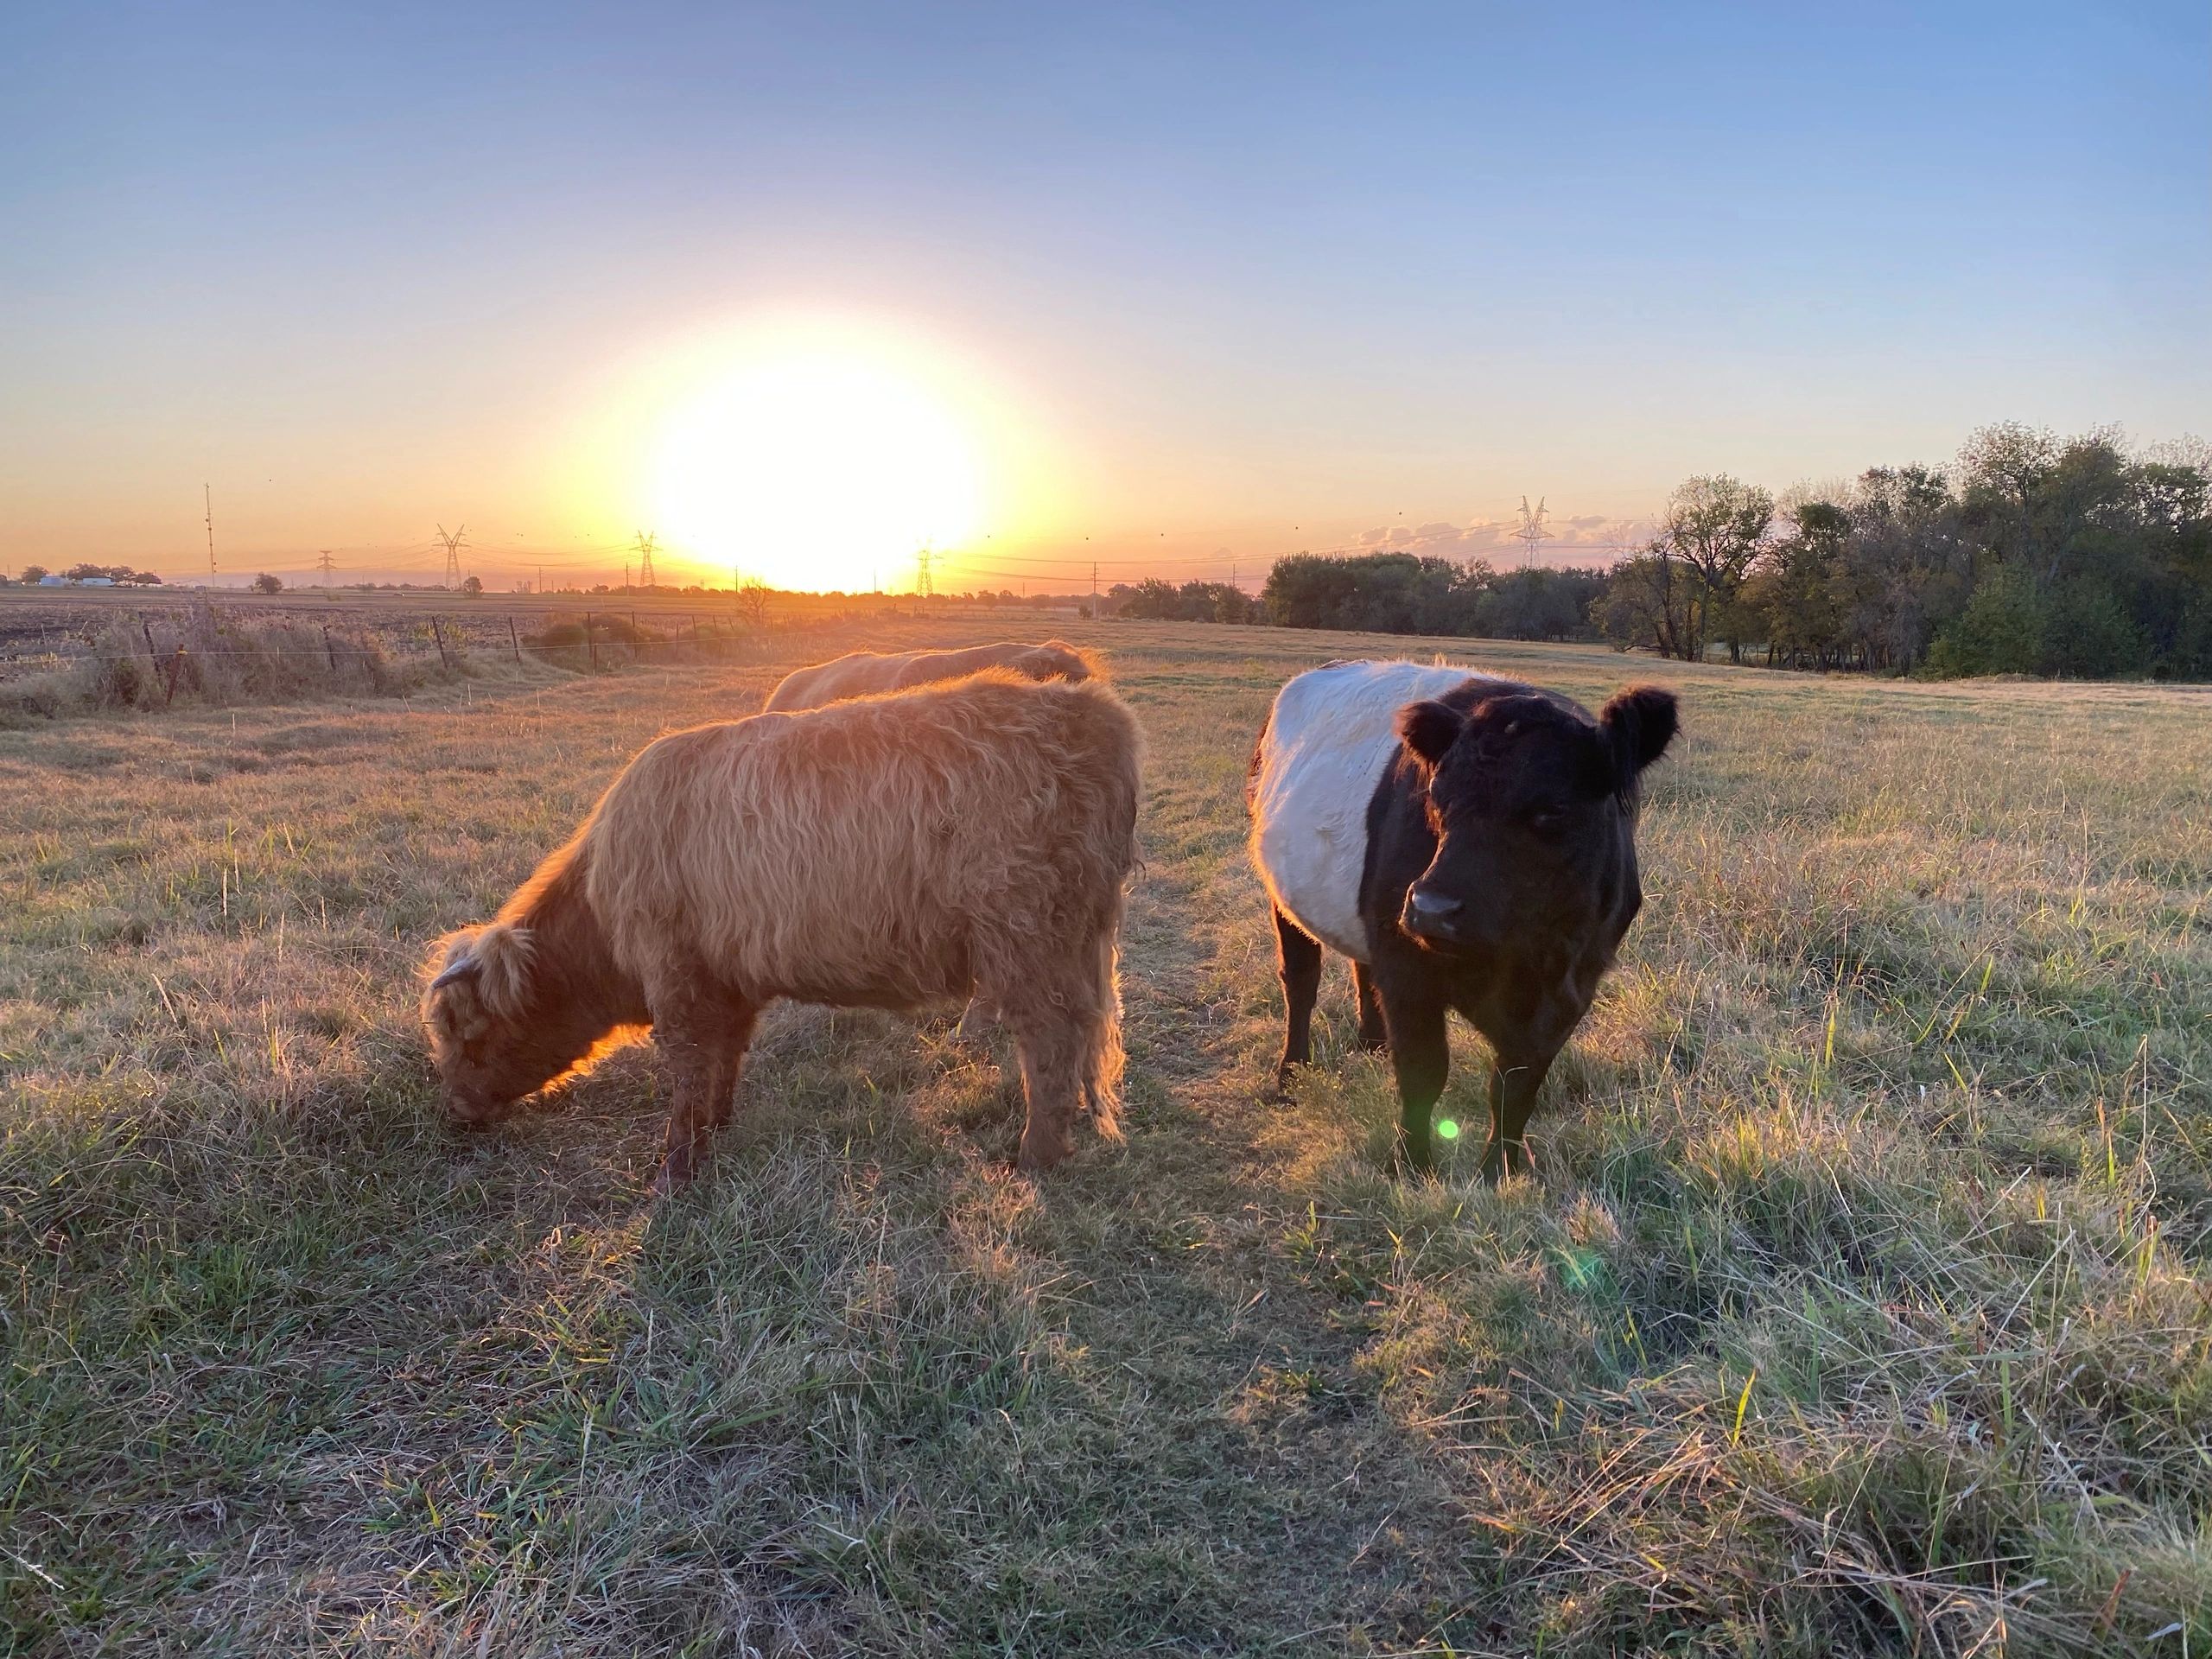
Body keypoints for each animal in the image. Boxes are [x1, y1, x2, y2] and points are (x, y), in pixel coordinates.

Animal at [422, 671, 1143, 1189]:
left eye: (472, 1035)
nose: (455, 1111)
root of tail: (1095, 712)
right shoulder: (728, 980)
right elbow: (725, 1059)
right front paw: (718, 1128)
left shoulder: (676, 977)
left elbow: (687, 1069)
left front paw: (676, 1170)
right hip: (1064, 945)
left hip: (1028, 941)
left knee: (1049, 1044)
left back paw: (1034, 1158)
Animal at [1247, 660, 1677, 1179]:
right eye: (1437, 796)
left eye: (1552, 810)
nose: (1431, 908)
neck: (1525, 957)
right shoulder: (1408, 969)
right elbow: (1424, 1072)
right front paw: (1412, 1165)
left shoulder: (1574, 988)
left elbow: (1516, 1088)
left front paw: (1500, 1170)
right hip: (1284, 897)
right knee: (1301, 981)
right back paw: (1292, 1073)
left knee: (1361, 967)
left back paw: (1372, 1043)